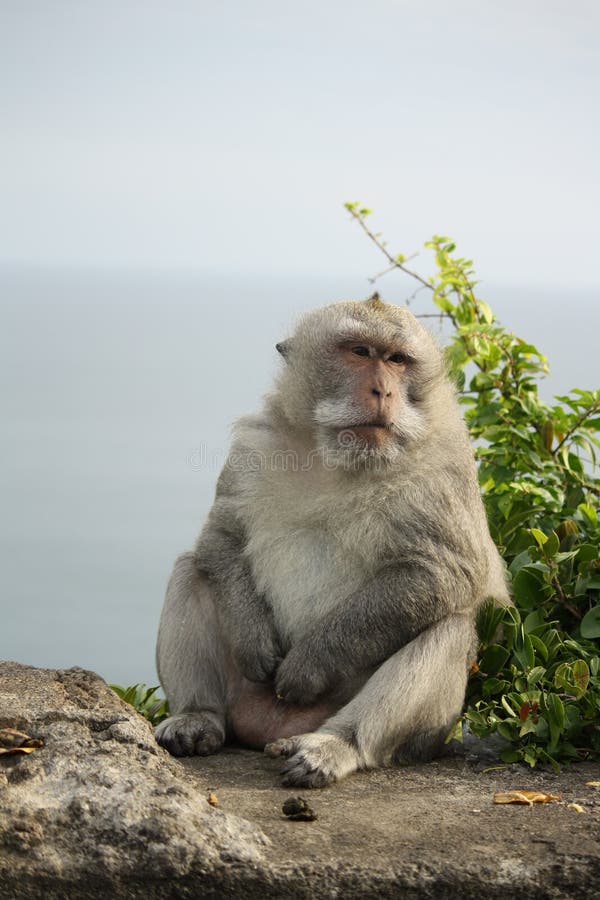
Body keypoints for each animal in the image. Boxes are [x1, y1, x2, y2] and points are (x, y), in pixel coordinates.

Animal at [155, 294, 509, 787]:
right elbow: (222, 534)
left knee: (448, 626)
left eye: (398, 360)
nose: (382, 392)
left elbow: (446, 570)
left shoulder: (446, 465)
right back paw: (197, 716)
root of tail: (272, 726)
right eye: (359, 351)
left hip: (397, 728)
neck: (339, 458)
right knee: (193, 568)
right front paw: (252, 640)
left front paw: (308, 665)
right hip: (240, 695)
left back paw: (335, 745)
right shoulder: (254, 444)